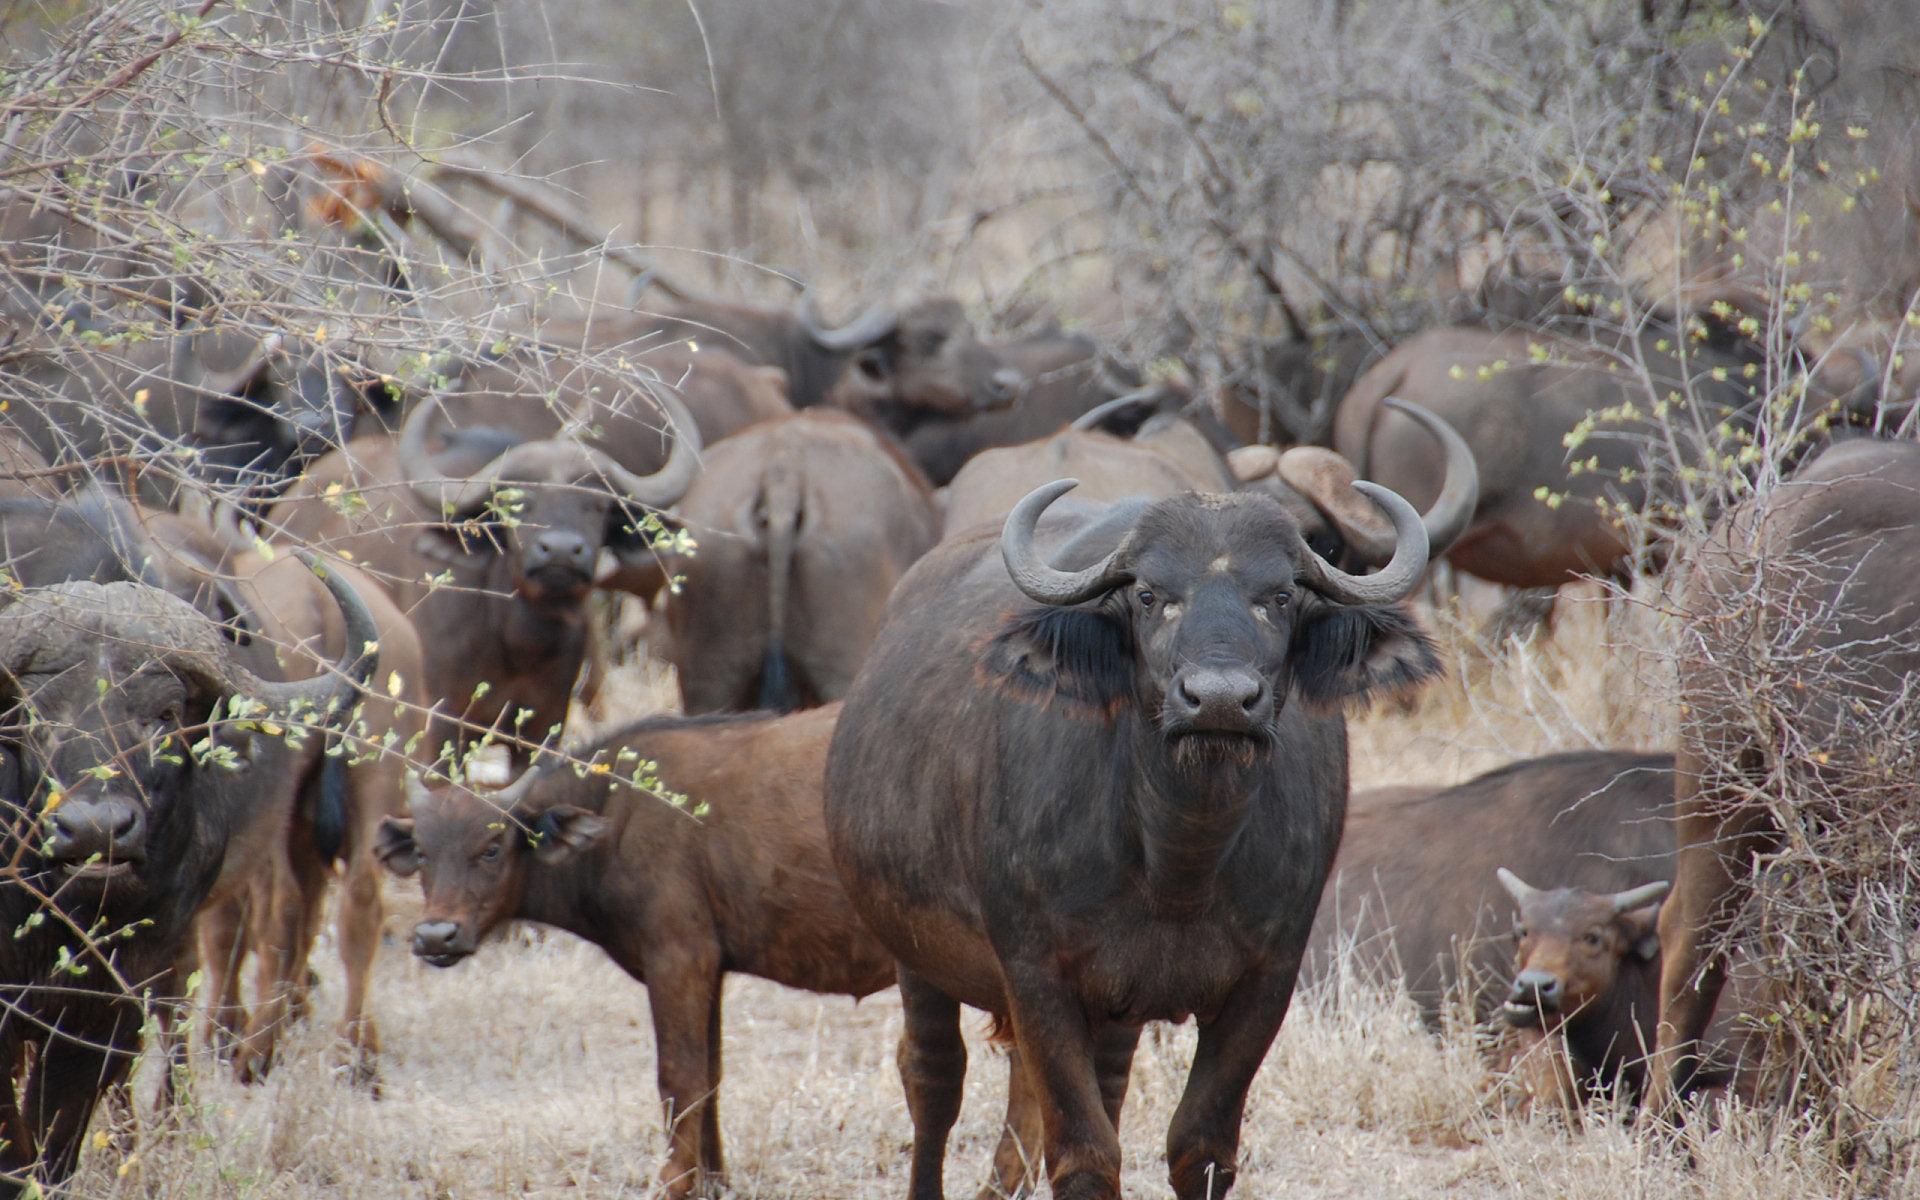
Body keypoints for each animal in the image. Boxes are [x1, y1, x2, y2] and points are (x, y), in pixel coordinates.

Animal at [826, 446, 1469, 1197]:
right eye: (1149, 595)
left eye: (1280, 595)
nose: (1218, 699)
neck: (1175, 861)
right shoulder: (1035, 972)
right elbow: (1083, 1153)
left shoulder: (1267, 980)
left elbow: (1201, 1145)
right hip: (913, 951)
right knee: (932, 1079)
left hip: (1113, 1011)